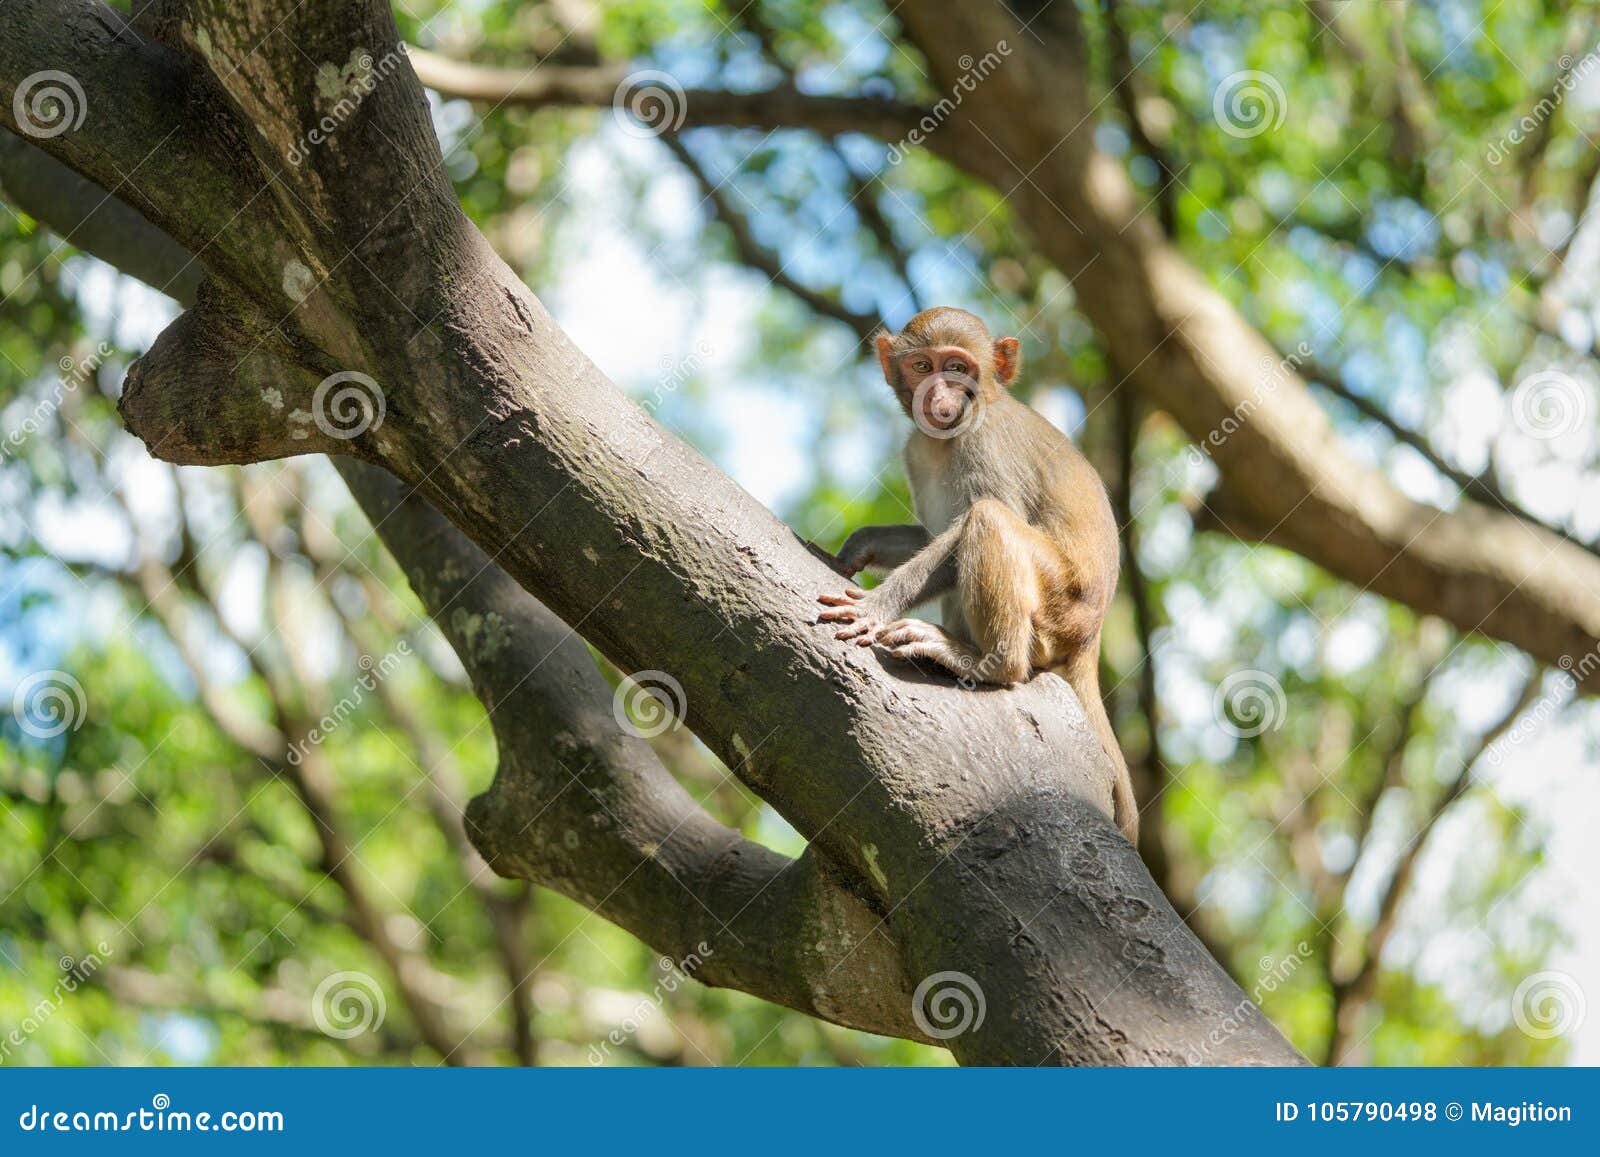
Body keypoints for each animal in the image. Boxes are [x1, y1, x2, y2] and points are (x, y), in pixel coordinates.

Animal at [816, 306, 1137, 842]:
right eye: (922, 366)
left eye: (957, 369)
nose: (939, 396)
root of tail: (1090, 636)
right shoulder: (915, 451)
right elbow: (934, 535)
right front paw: (859, 546)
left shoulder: (987, 445)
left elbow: (968, 528)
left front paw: (876, 606)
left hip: (1058, 608)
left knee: (988, 519)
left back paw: (986, 661)